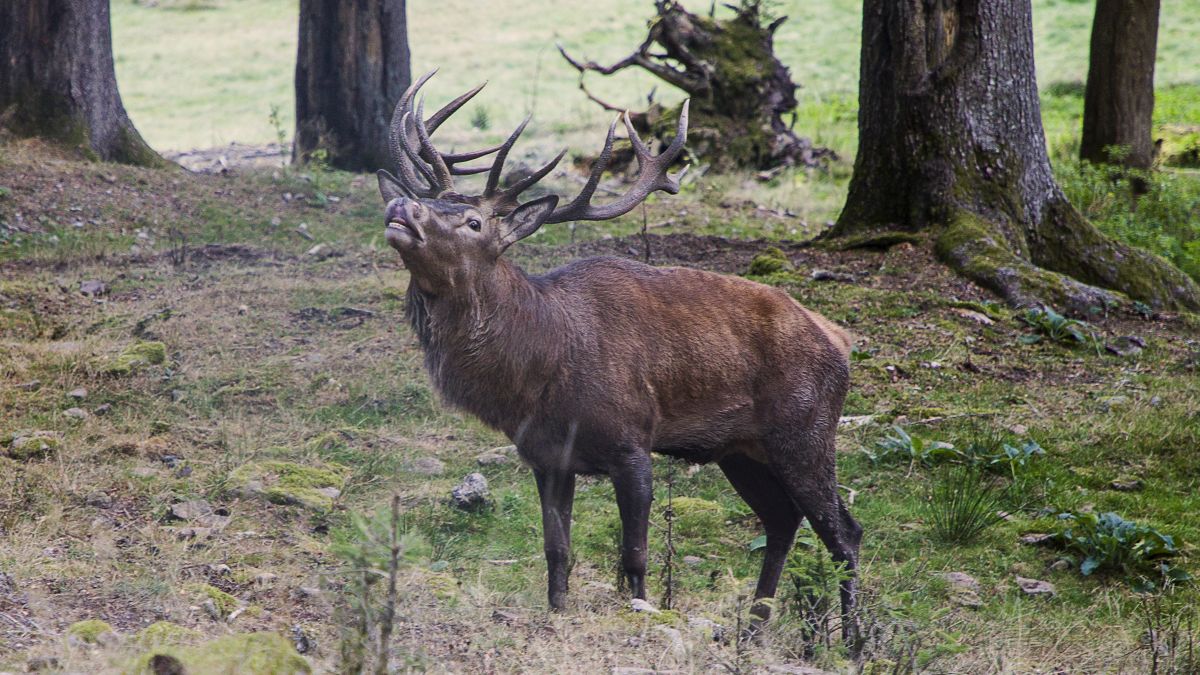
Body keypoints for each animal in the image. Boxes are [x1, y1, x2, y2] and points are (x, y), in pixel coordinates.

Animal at [376, 71, 862, 641]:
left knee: (844, 532)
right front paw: (557, 612)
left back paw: (854, 641)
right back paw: (754, 627)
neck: (540, 371)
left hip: (805, 431)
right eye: (427, 200)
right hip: (742, 450)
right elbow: (556, 550)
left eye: (474, 222)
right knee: (782, 520)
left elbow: (635, 554)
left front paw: (644, 611)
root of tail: (840, 339)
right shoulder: (547, 458)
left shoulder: (633, 443)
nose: (402, 208)